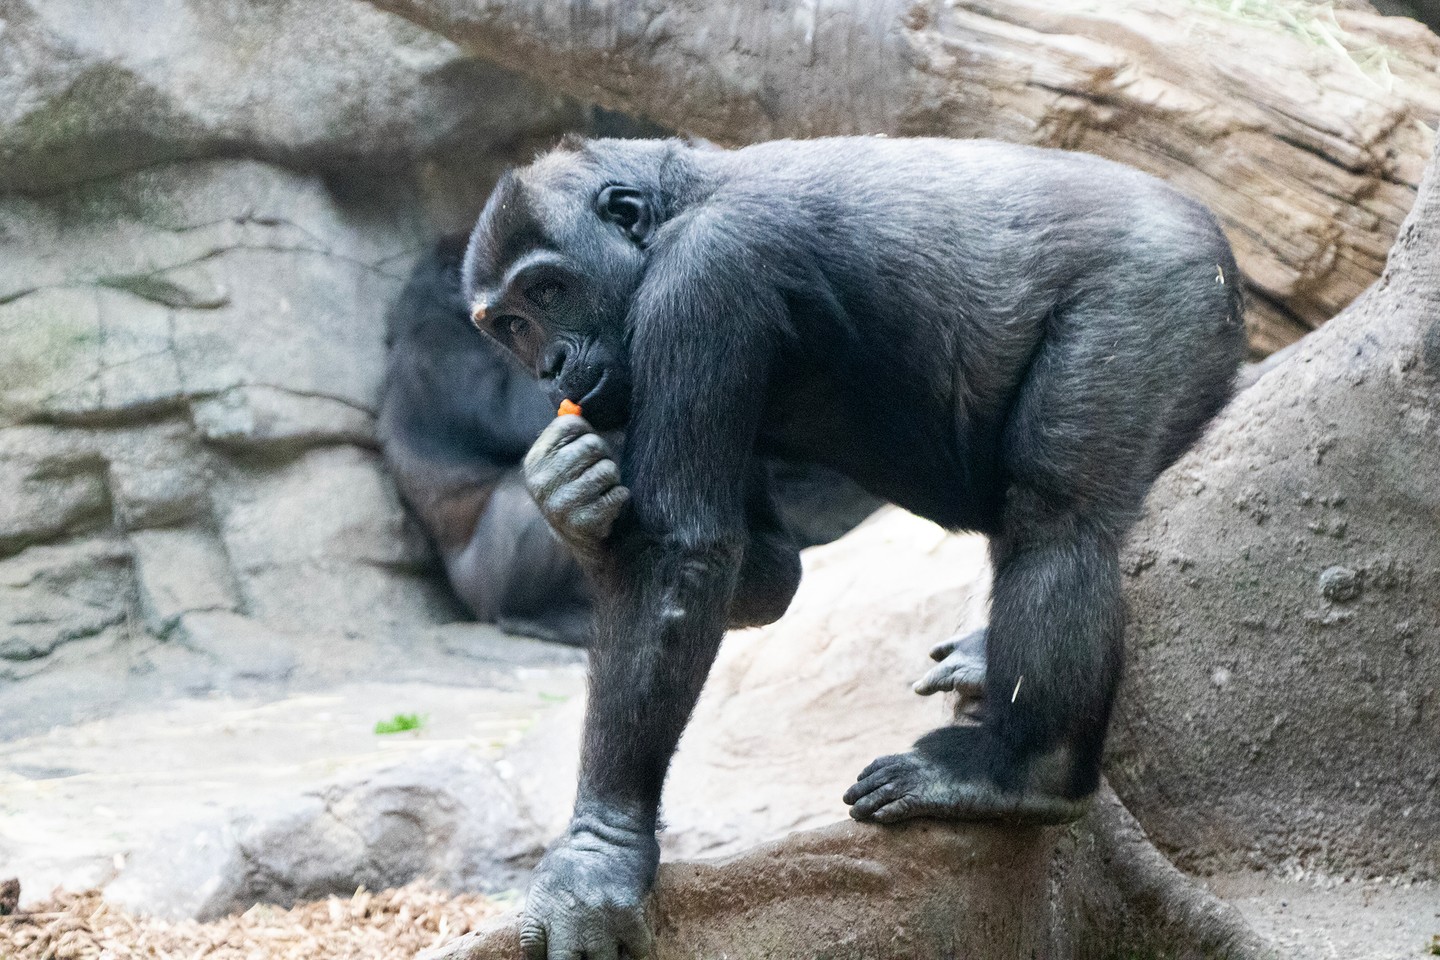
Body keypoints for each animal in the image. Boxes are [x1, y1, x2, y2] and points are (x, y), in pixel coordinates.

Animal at [462, 135, 1246, 959]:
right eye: (510, 325)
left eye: (549, 291)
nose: (549, 367)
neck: (678, 202)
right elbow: (765, 574)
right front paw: (568, 503)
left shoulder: (705, 279)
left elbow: (679, 558)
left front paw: (596, 856)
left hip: (1160, 290)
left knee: (1060, 523)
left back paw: (1024, 773)